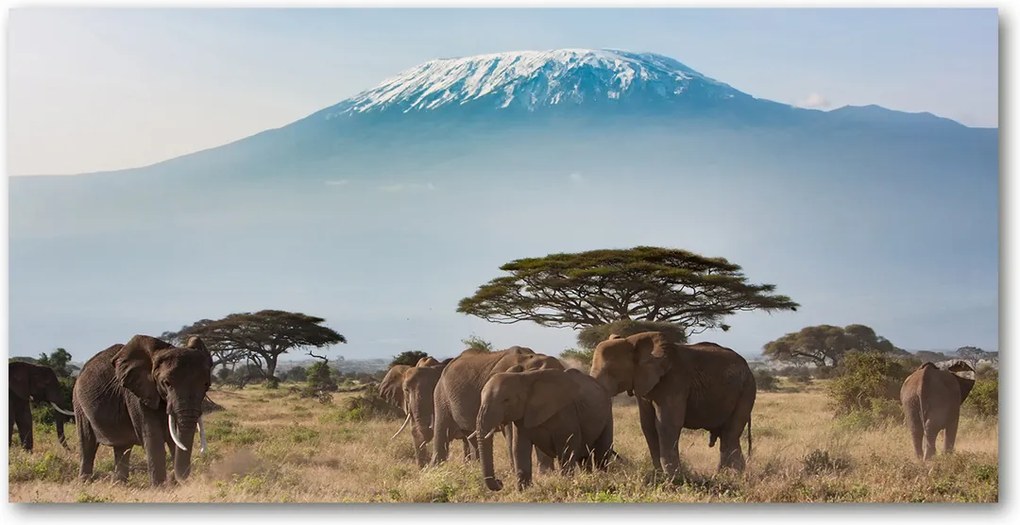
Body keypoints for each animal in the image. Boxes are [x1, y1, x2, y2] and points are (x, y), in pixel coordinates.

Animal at [74, 334, 214, 487]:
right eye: (167, 383)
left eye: (206, 384)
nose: (175, 478)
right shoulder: (137, 395)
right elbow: (153, 437)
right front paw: (160, 488)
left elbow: (173, 438)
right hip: (78, 403)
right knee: (87, 442)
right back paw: (85, 482)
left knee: (122, 446)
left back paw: (119, 484)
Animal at [477, 366, 612, 491]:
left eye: (506, 400)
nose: (500, 482)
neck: (523, 377)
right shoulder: (521, 417)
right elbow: (519, 449)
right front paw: (524, 491)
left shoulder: (566, 411)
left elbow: (567, 448)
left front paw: (566, 484)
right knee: (584, 458)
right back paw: (589, 477)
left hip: (607, 411)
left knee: (602, 452)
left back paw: (602, 477)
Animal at [587, 334, 754, 479]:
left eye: (611, 371)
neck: (632, 341)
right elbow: (648, 426)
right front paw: (660, 475)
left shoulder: (674, 382)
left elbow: (667, 425)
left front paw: (674, 478)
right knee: (725, 435)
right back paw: (725, 474)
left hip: (746, 391)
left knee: (730, 434)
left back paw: (734, 476)